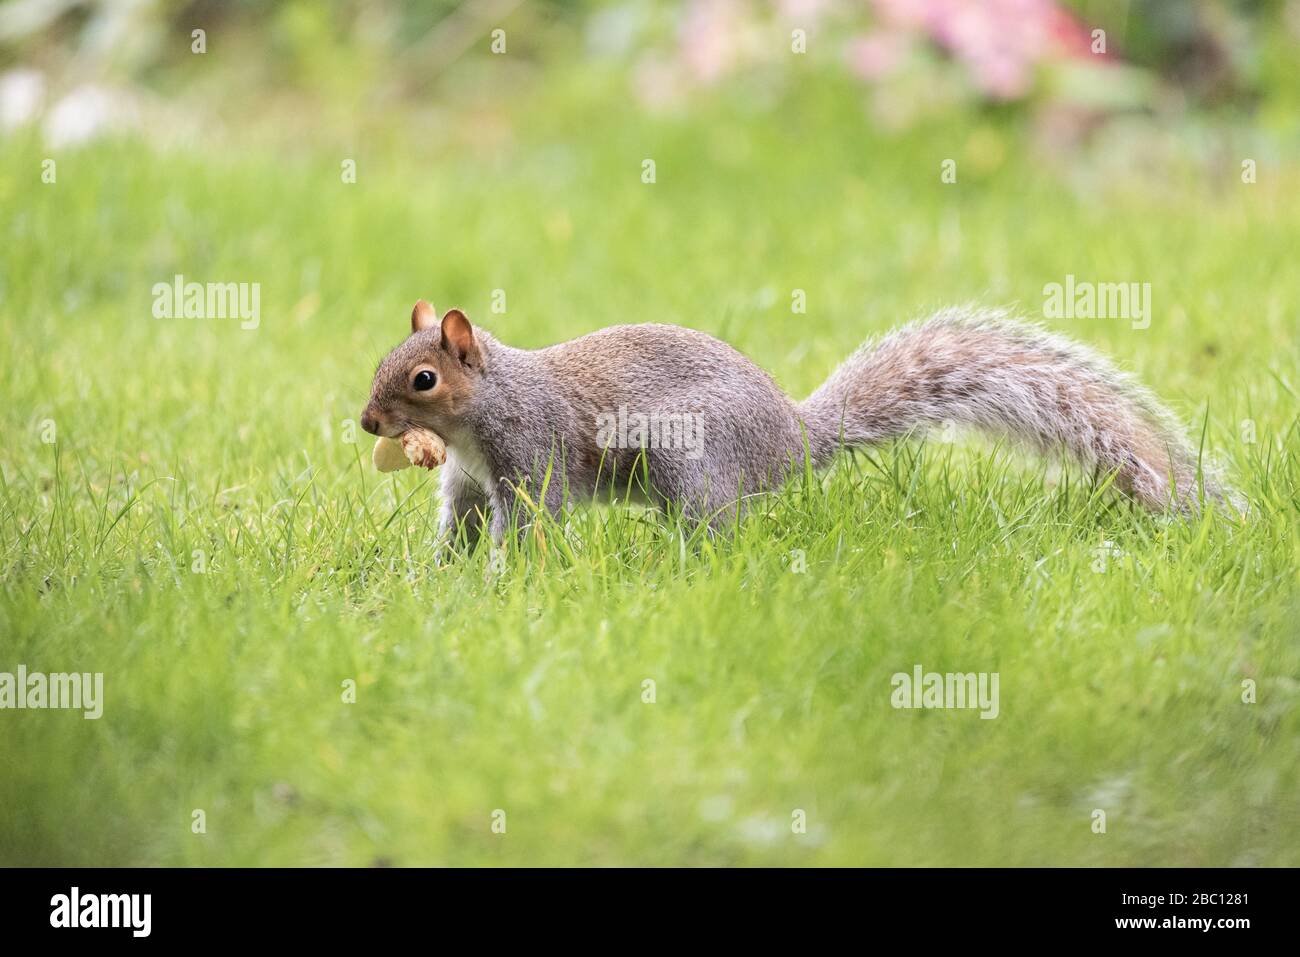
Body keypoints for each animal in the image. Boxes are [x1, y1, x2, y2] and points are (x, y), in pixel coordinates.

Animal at [361, 300, 1233, 545]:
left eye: (423, 377)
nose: (368, 421)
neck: (481, 414)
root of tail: (791, 438)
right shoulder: (469, 480)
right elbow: (459, 523)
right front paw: (440, 577)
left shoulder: (530, 456)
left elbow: (532, 523)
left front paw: (501, 581)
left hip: (689, 462)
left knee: (716, 528)